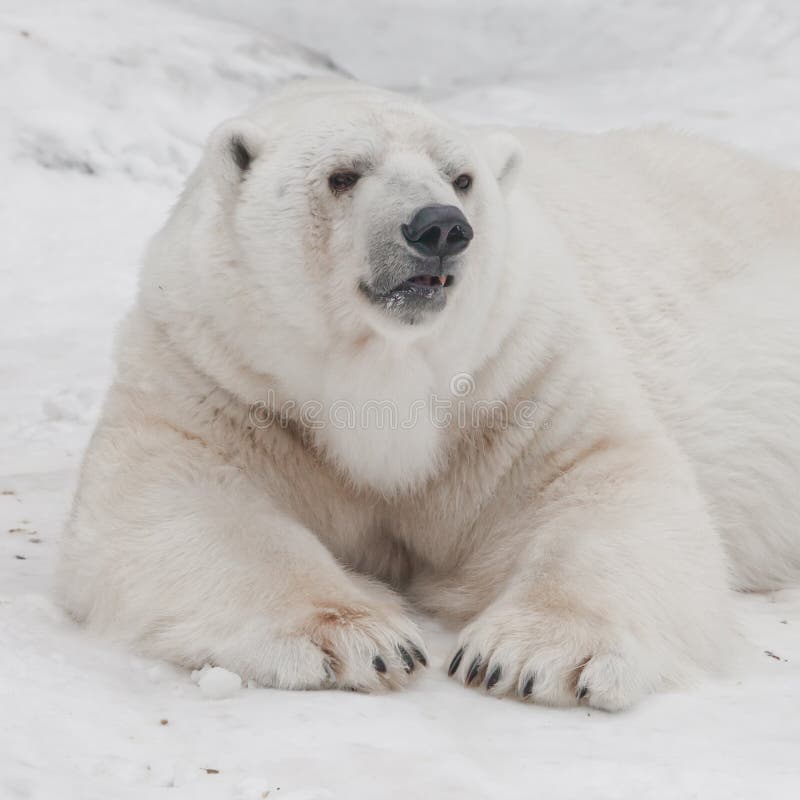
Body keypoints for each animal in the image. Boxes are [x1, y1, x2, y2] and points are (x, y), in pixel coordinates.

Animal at [57, 78, 800, 711]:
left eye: (461, 177)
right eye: (344, 173)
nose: (439, 226)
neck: (387, 373)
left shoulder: (519, 374)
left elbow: (609, 476)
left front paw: (528, 654)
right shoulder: (222, 373)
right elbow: (177, 493)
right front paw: (364, 639)